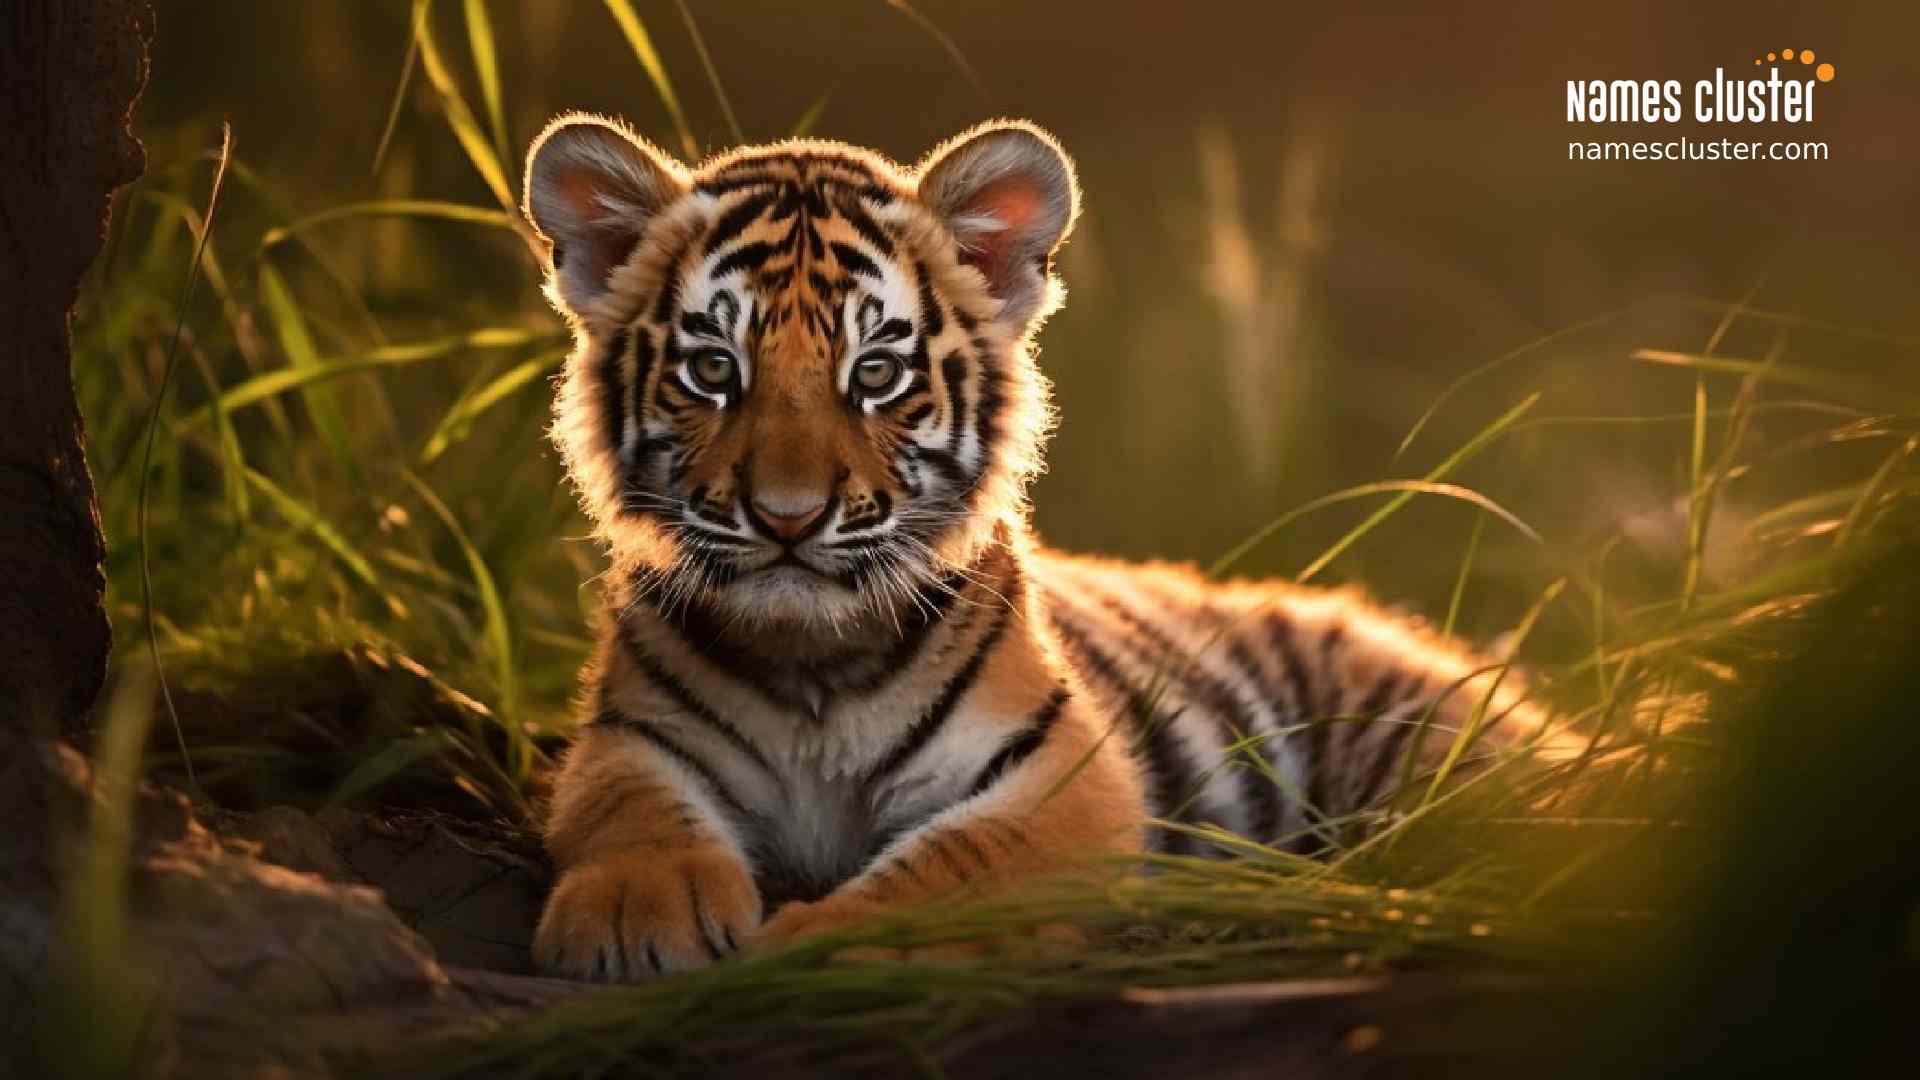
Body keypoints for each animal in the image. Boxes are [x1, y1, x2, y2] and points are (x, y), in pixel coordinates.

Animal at [521, 115, 1561, 981]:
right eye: (712, 369)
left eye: (876, 374)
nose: (787, 517)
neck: (811, 662)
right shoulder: (631, 735)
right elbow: (632, 812)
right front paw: (633, 919)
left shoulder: (1063, 774)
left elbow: (944, 870)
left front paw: (815, 944)